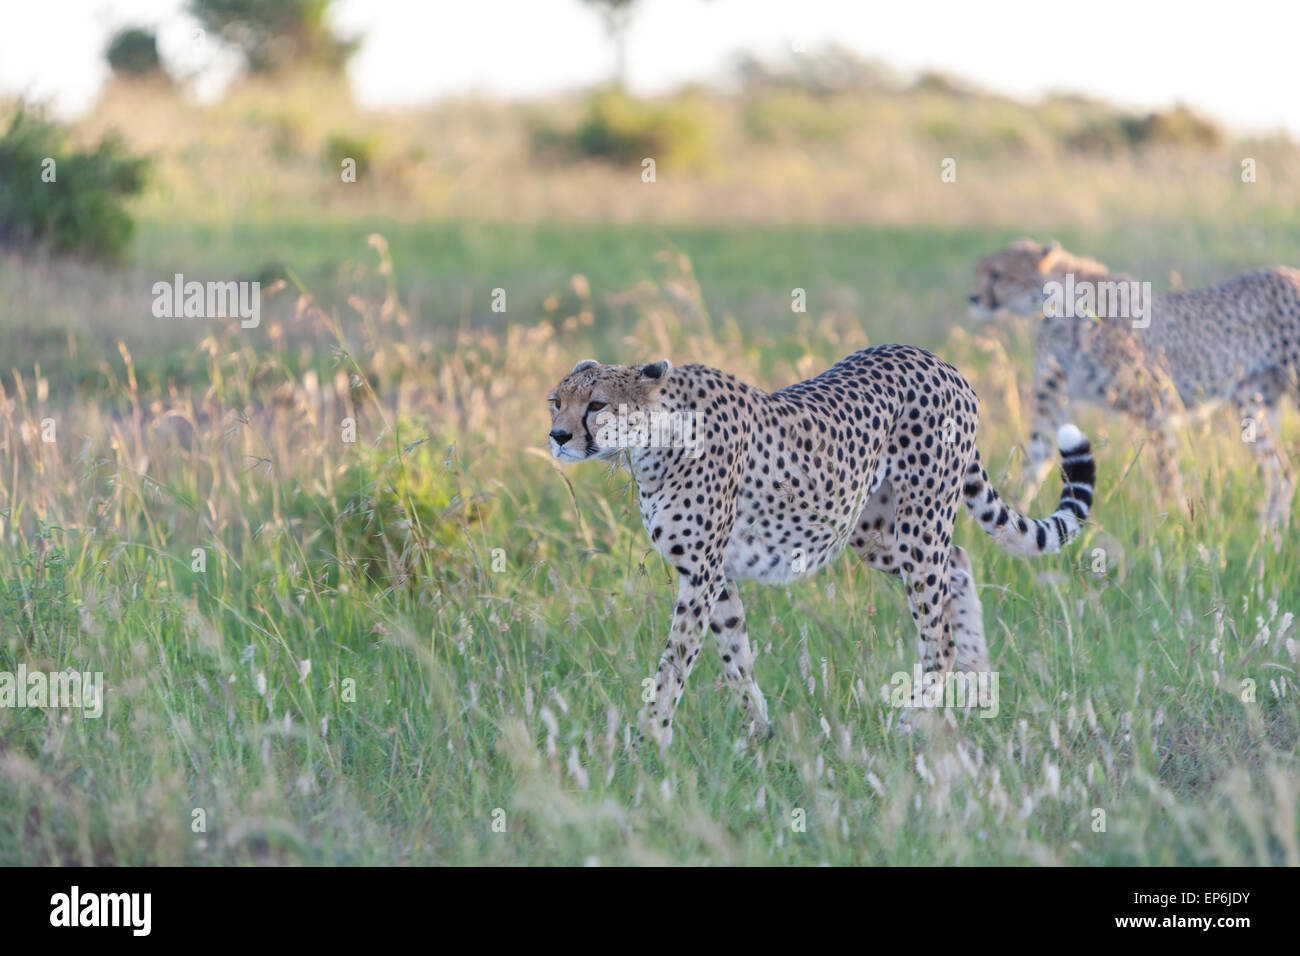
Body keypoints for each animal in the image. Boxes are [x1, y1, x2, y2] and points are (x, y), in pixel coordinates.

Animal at [546, 346, 1096, 752]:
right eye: (556, 401)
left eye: (597, 405)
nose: (557, 436)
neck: (654, 442)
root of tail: (938, 361)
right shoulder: (716, 575)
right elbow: (735, 656)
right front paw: (758, 734)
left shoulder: (701, 573)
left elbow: (675, 661)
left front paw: (650, 740)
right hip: (873, 532)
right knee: (958, 566)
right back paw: (979, 686)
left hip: (920, 524)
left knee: (938, 632)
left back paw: (910, 723)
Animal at [970, 239, 1300, 532]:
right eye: (981, 271)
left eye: (997, 274)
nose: (972, 298)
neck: (1057, 308)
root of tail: (1289, 272)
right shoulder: (1051, 406)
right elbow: (1032, 462)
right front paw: (1010, 522)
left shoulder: (1154, 400)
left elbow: (1166, 472)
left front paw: (1176, 527)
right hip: (1252, 402)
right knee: (1281, 472)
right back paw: (1270, 535)